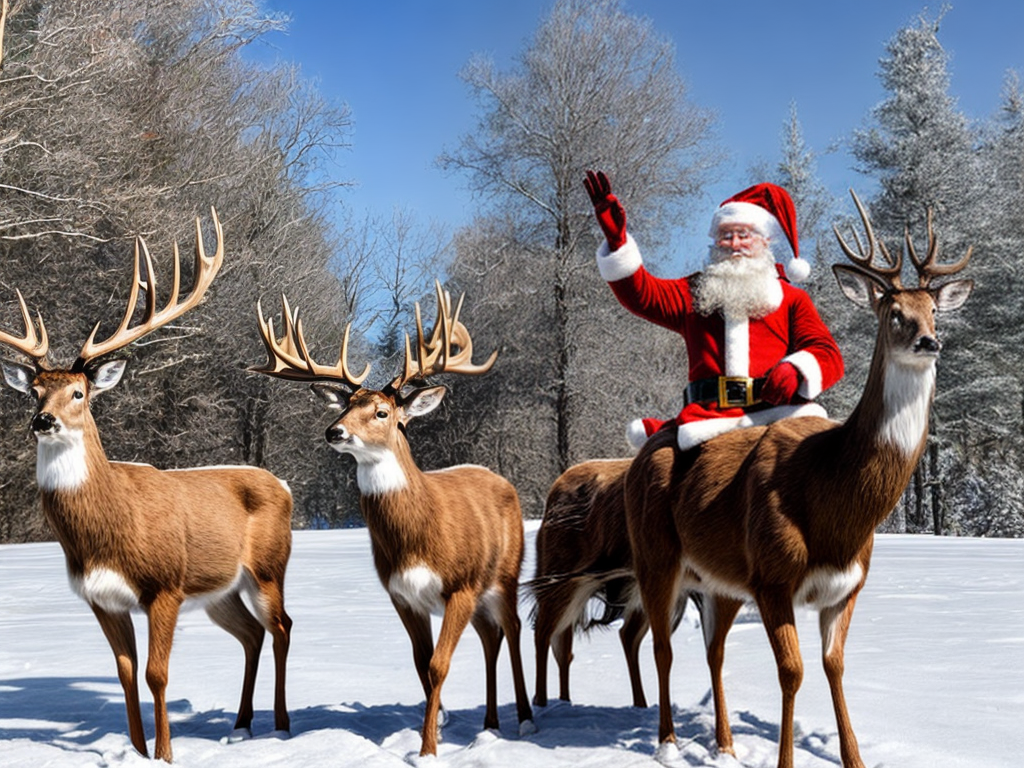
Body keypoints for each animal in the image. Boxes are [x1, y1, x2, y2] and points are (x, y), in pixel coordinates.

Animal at [0, 211, 294, 763]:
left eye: (80, 392)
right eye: (34, 391)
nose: (43, 421)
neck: (106, 530)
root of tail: (282, 483)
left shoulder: (165, 584)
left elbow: (158, 674)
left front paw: (165, 753)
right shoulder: (101, 597)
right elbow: (126, 674)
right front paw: (136, 750)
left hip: (267, 568)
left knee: (282, 627)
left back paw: (282, 727)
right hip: (219, 587)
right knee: (251, 634)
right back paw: (242, 723)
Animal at [252, 281, 534, 756]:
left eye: (382, 412)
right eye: (346, 404)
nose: (334, 431)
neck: (416, 539)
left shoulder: (459, 584)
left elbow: (439, 665)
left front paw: (428, 750)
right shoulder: (401, 594)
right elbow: (422, 665)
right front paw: (436, 728)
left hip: (504, 573)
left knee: (512, 629)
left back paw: (527, 719)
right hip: (481, 595)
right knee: (490, 637)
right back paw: (491, 723)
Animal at [623, 191, 973, 768]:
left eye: (934, 310)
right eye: (892, 313)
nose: (929, 341)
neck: (834, 493)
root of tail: (643, 448)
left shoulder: (847, 585)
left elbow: (834, 666)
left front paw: (854, 757)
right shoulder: (772, 574)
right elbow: (792, 672)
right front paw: (786, 759)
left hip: (718, 580)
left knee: (713, 650)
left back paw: (725, 745)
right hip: (654, 553)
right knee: (659, 644)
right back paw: (668, 743)